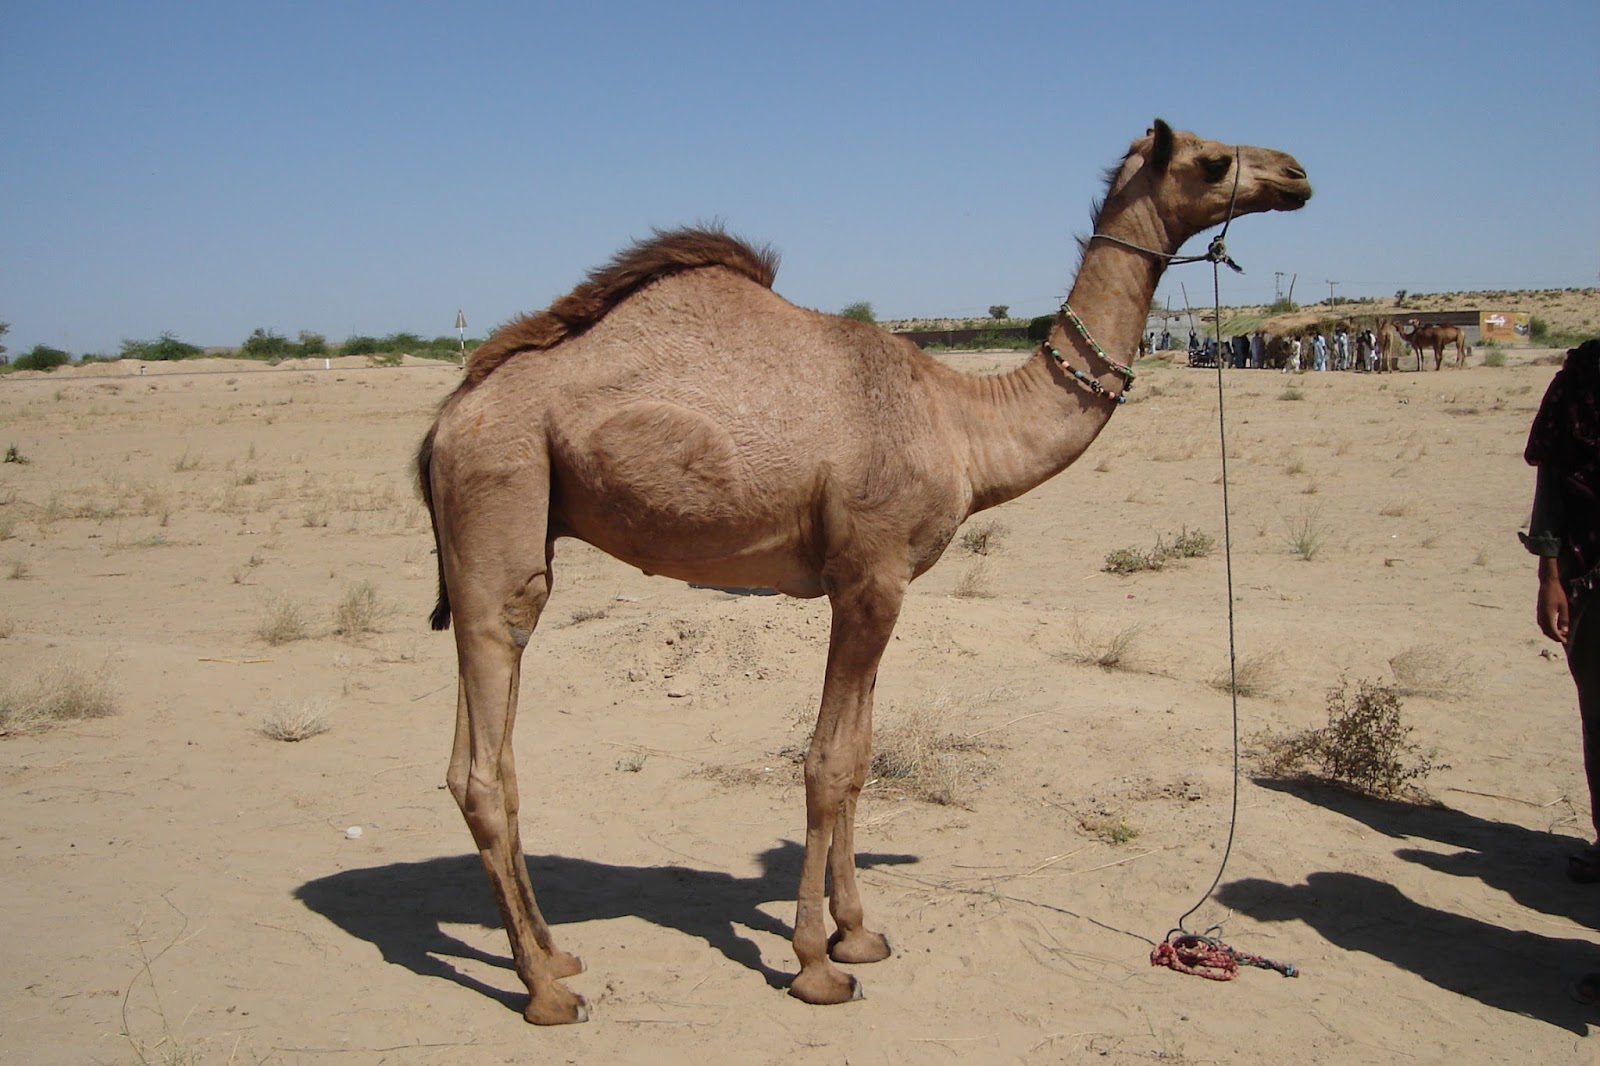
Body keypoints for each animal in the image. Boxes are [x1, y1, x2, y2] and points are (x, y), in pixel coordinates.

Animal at [414, 119, 1311, 1025]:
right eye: (1213, 160)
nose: (1298, 174)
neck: (963, 424)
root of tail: (448, 418)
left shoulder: (885, 583)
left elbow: (861, 755)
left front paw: (859, 934)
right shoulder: (870, 577)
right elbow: (826, 764)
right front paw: (816, 965)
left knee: (490, 762)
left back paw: (555, 954)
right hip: (501, 492)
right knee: (484, 756)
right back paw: (544, 992)